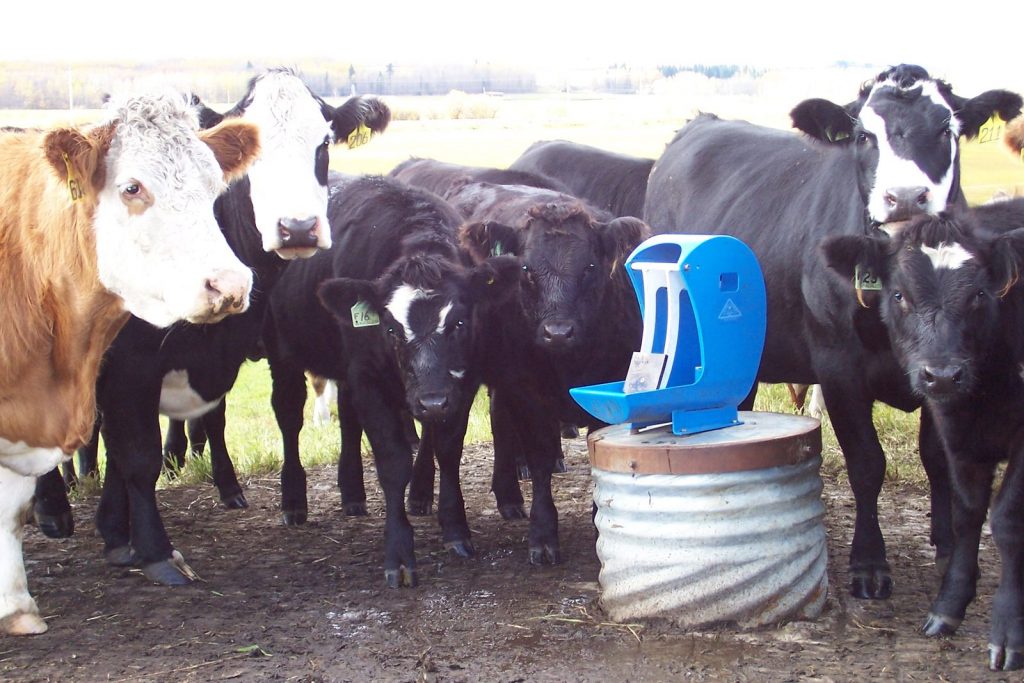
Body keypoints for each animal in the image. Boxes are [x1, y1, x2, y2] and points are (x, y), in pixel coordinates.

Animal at [28, 71, 390, 588]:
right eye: (253, 151)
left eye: (323, 144)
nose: (298, 227)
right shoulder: (131, 364)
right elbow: (137, 455)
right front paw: (154, 550)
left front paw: (116, 531)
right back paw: (53, 509)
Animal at [263, 174, 519, 588]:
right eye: (391, 329)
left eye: (460, 322)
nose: (432, 401)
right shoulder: (368, 380)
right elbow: (393, 462)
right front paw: (399, 553)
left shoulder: (462, 385)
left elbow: (449, 451)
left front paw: (456, 529)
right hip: (282, 352)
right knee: (289, 418)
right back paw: (293, 501)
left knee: (349, 419)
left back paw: (354, 492)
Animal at [642, 64, 1022, 601]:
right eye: (864, 136)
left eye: (946, 129)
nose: (907, 197)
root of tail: (701, 123)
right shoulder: (838, 367)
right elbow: (866, 463)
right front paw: (869, 563)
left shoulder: (947, 368)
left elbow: (938, 459)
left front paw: (946, 546)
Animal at [821, 212, 1024, 671]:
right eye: (898, 294)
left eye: (980, 294)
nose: (943, 375)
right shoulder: (958, 433)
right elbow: (968, 513)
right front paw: (948, 607)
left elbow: (1006, 519)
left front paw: (1008, 635)